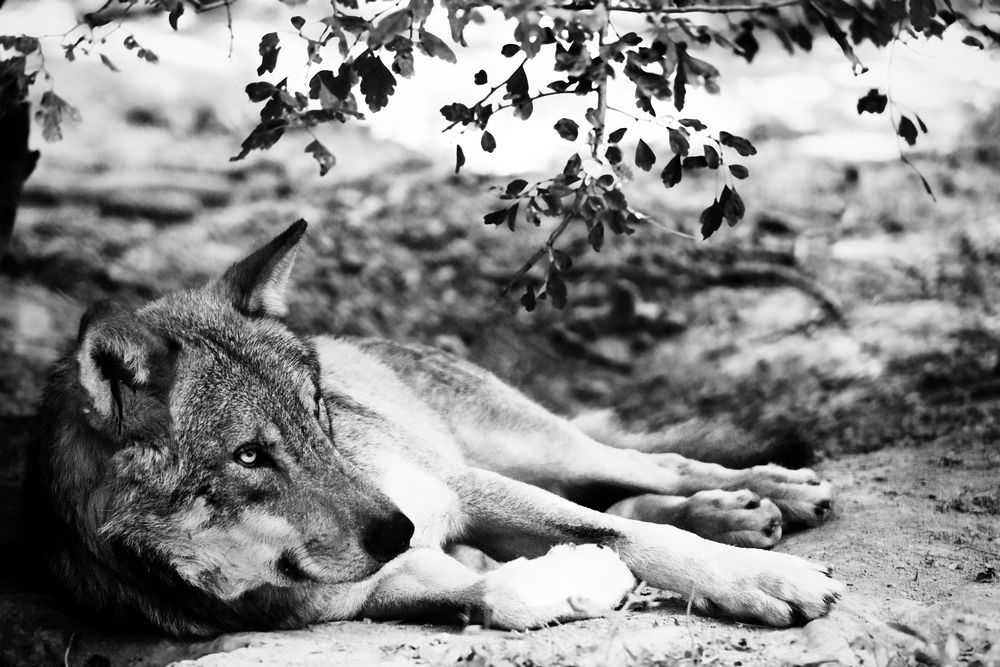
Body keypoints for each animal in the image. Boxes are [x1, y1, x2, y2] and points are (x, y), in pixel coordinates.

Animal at [26, 219, 842, 637]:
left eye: (319, 417)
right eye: (250, 456)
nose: (399, 529)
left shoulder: (457, 488)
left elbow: (634, 536)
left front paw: (762, 578)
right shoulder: (376, 590)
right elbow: (498, 593)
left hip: (528, 449)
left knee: (652, 466)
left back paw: (769, 493)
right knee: (629, 490)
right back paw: (738, 513)